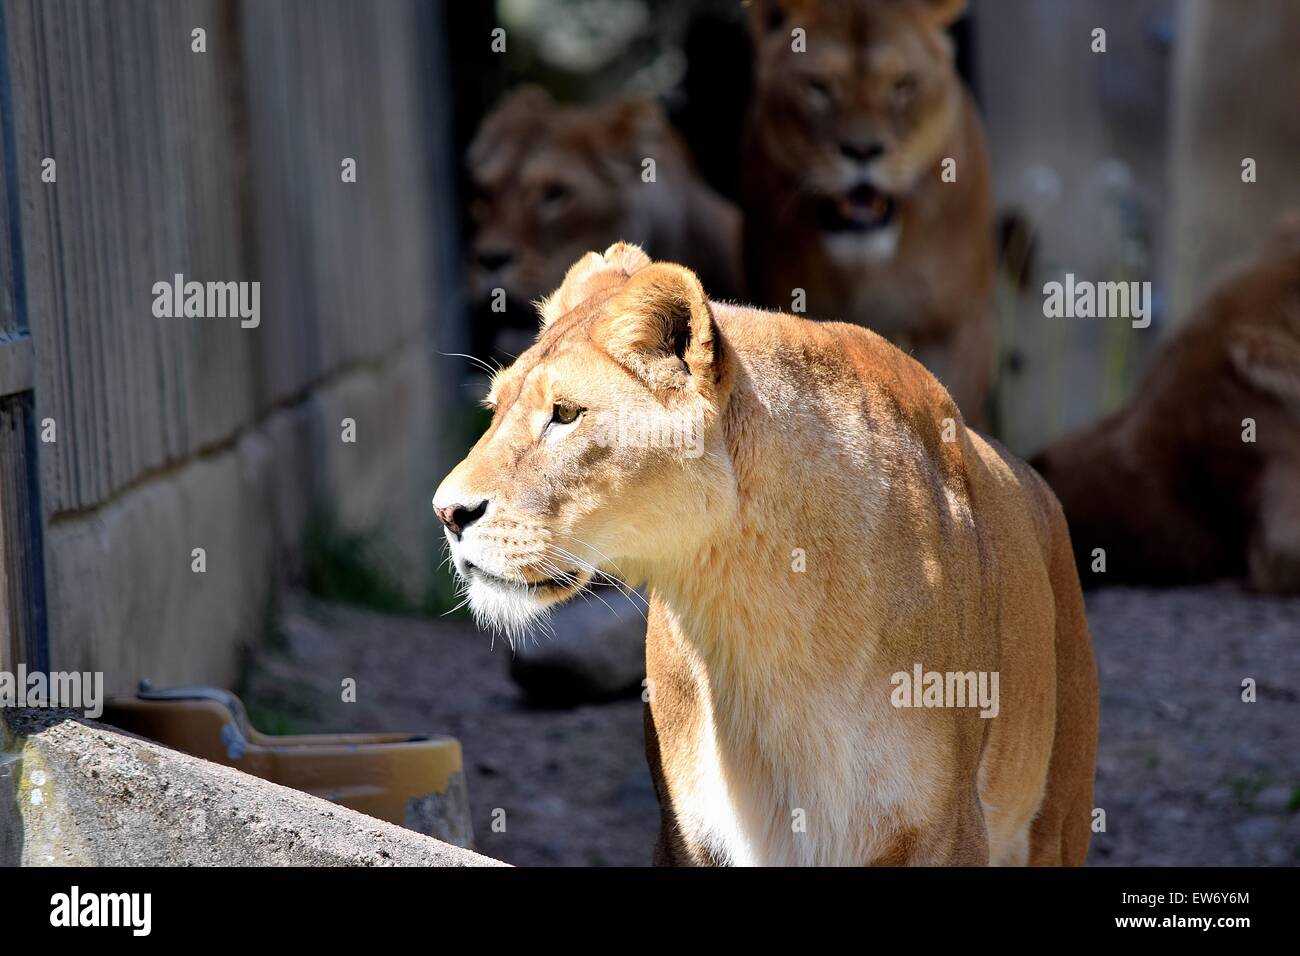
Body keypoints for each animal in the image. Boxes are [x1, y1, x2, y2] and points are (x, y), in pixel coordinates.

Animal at [433, 242, 1097, 866]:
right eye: (494, 410)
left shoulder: (946, 829)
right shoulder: (687, 833)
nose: (446, 512)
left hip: (1058, 820)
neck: (762, 607)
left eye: (566, 414)